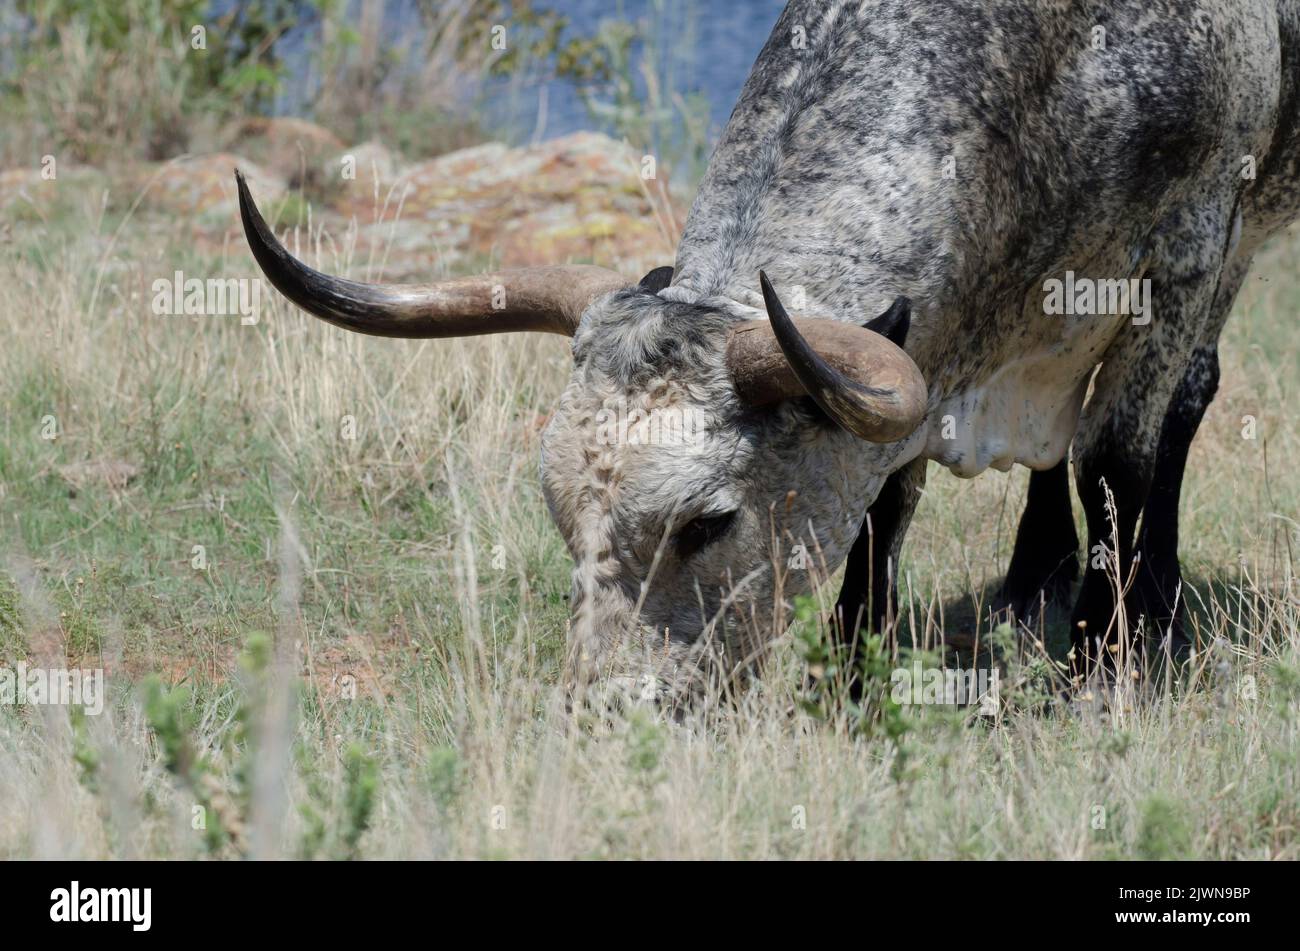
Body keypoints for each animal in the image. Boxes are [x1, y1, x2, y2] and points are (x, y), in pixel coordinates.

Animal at [237, 0, 1300, 707]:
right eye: (560, 514)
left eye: (708, 522)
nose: (611, 703)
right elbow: (884, 496)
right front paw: (858, 662)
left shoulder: (1188, 251)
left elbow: (1116, 461)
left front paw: (1102, 666)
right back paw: (1029, 580)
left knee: (1177, 409)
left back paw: (1148, 606)